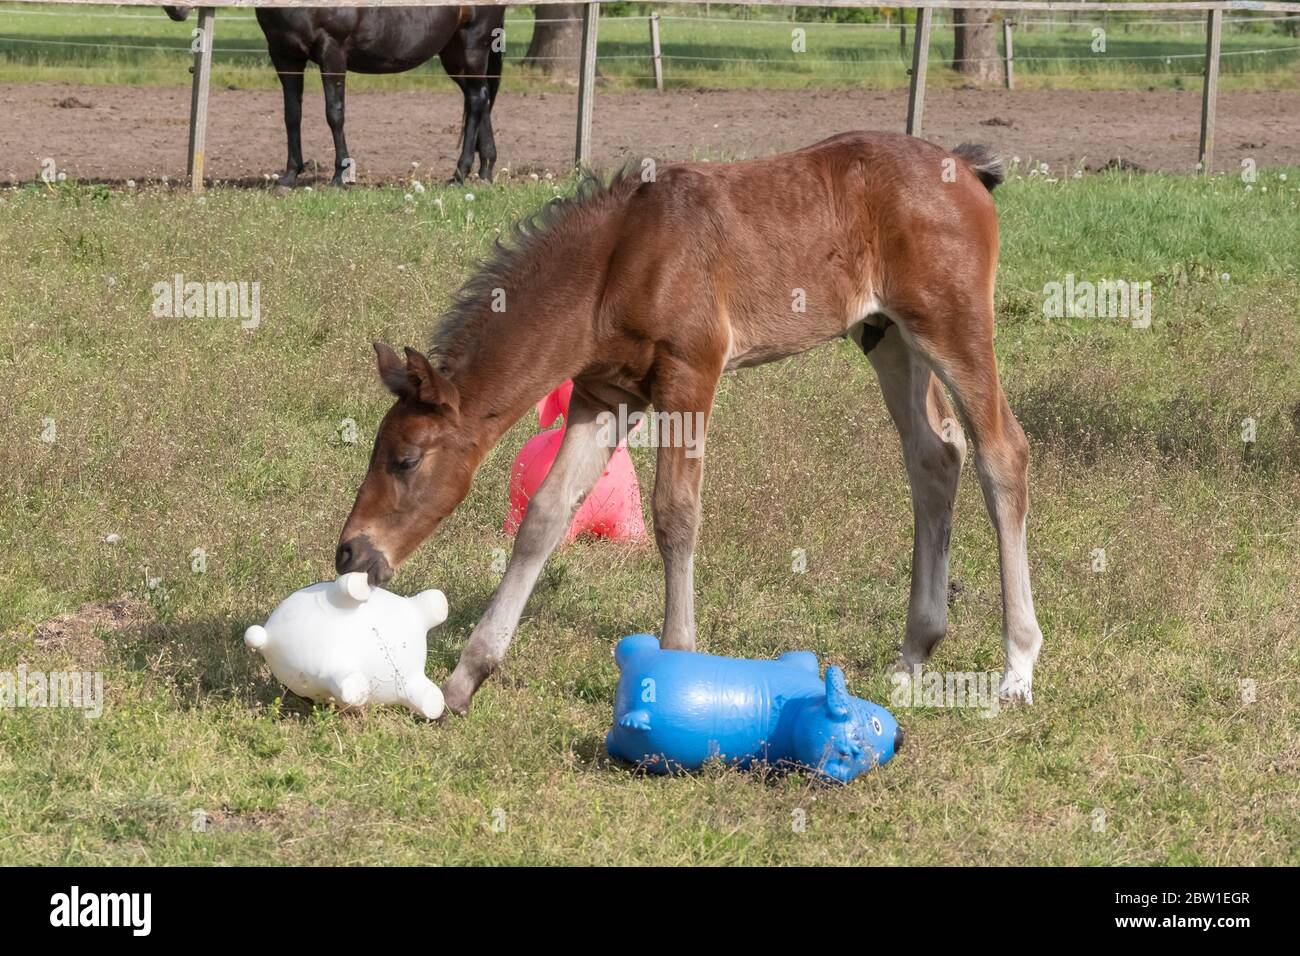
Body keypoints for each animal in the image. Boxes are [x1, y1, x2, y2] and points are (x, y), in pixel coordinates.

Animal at [163, 6, 503, 185]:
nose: (174, 8)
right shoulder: (284, 56)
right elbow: (292, 115)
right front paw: (290, 175)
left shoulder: (332, 52)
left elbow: (334, 113)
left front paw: (341, 176)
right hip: (454, 55)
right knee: (481, 99)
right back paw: (485, 169)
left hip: (472, 45)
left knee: (476, 100)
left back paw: (460, 173)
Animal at [336, 131, 1046, 716]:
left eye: (405, 459)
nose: (350, 552)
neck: (616, 261)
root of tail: (966, 169)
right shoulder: (604, 396)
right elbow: (545, 514)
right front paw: (466, 676)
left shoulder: (691, 376)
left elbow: (675, 512)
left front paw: (678, 655)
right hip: (889, 336)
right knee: (935, 458)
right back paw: (914, 653)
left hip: (952, 324)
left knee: (1001, 452)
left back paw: (1017, 669)